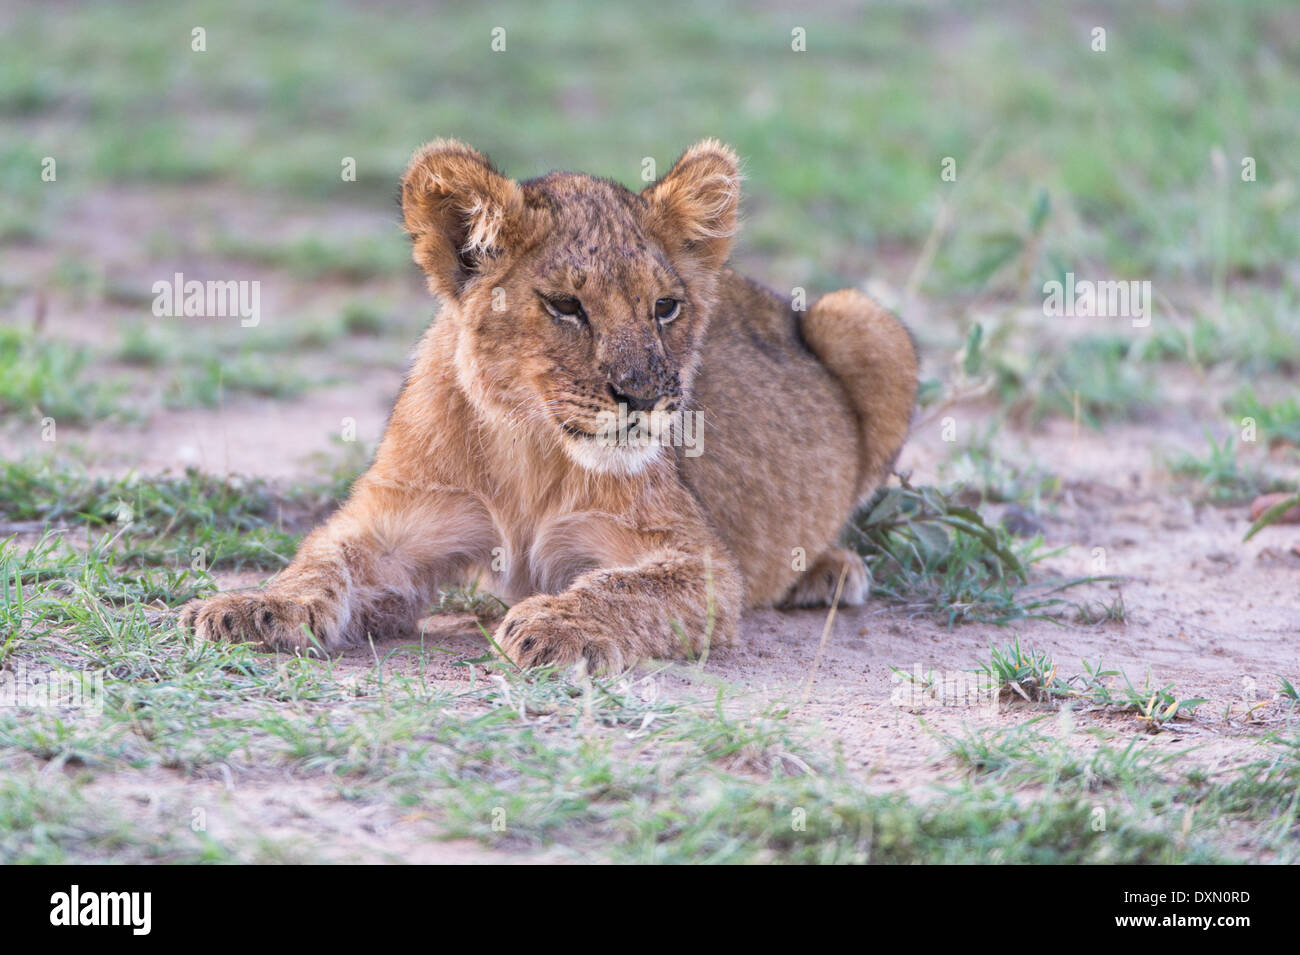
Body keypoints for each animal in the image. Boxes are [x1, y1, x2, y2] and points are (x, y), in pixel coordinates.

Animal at [180, 138, 919, 671]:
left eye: (665, 307)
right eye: (566, 306)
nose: (646, 397)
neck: (528, 443)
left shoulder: (700, 561)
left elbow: (624, 586)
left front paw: (555, 623)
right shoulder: (399, 526)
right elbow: (320, 560)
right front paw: (248, 606)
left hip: (865, 321)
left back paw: (825, 570)